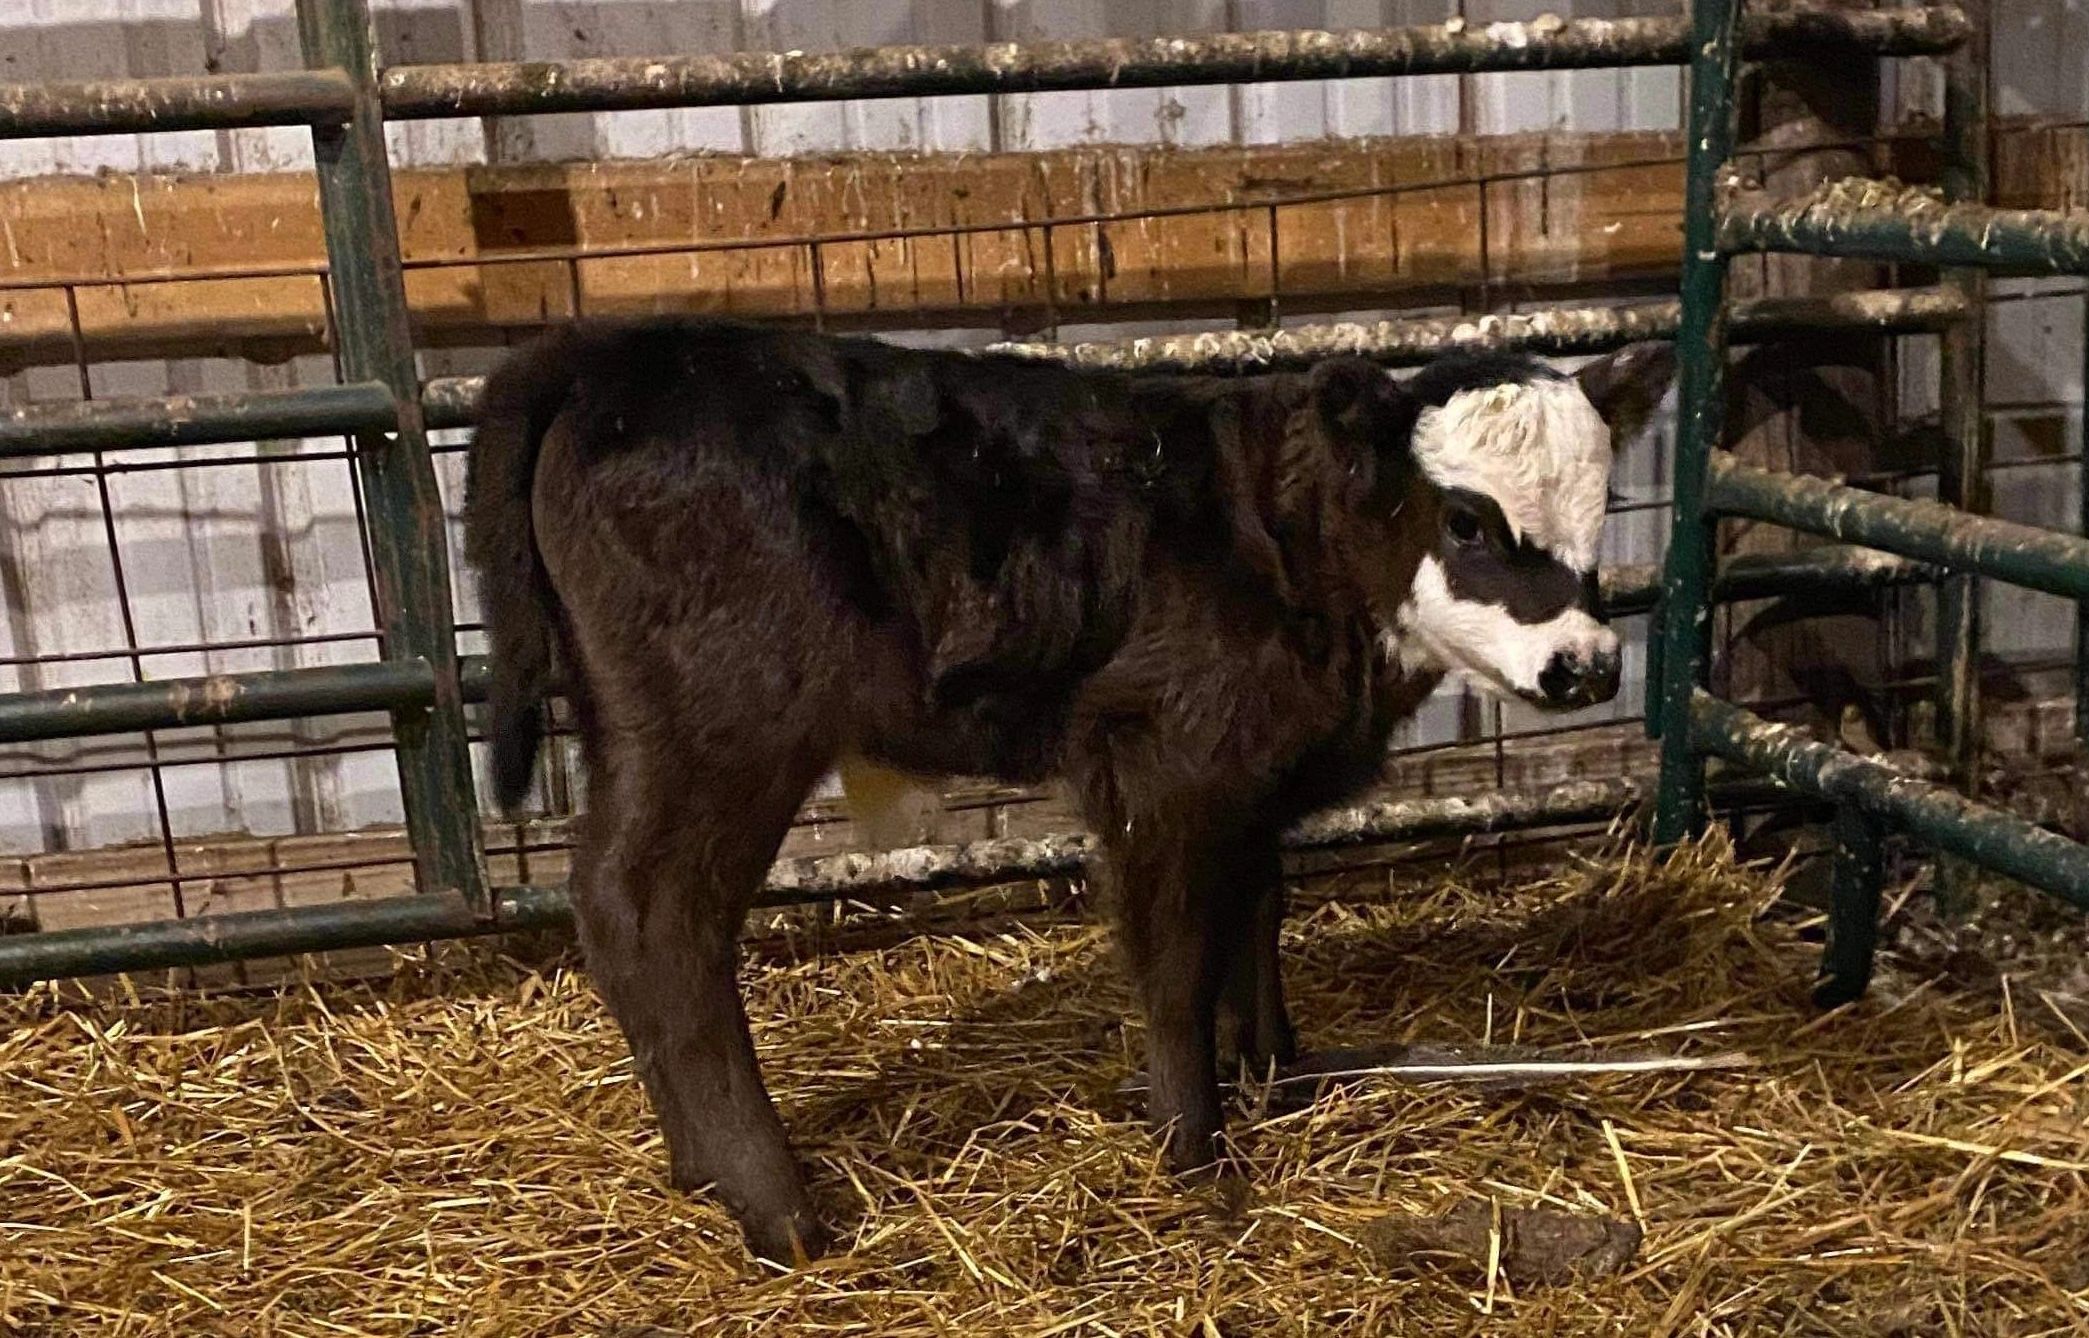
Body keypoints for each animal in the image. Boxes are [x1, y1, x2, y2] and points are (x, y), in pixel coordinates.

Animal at [463, 316, 1673, 1264]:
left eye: (1601, 507)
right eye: (1465, 520)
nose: (1583, 665)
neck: (1286, 536)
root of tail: (619, 352)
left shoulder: (1247, 775)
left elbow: (1256, 915)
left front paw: (1274, 1077)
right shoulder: (1162, 765)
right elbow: (1178, 962)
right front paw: (1196, 1155)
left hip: (638, 735)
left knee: (609, 908)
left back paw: (700, 1175)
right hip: (726, 735)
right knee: (660, 918)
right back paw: (779, 1212)